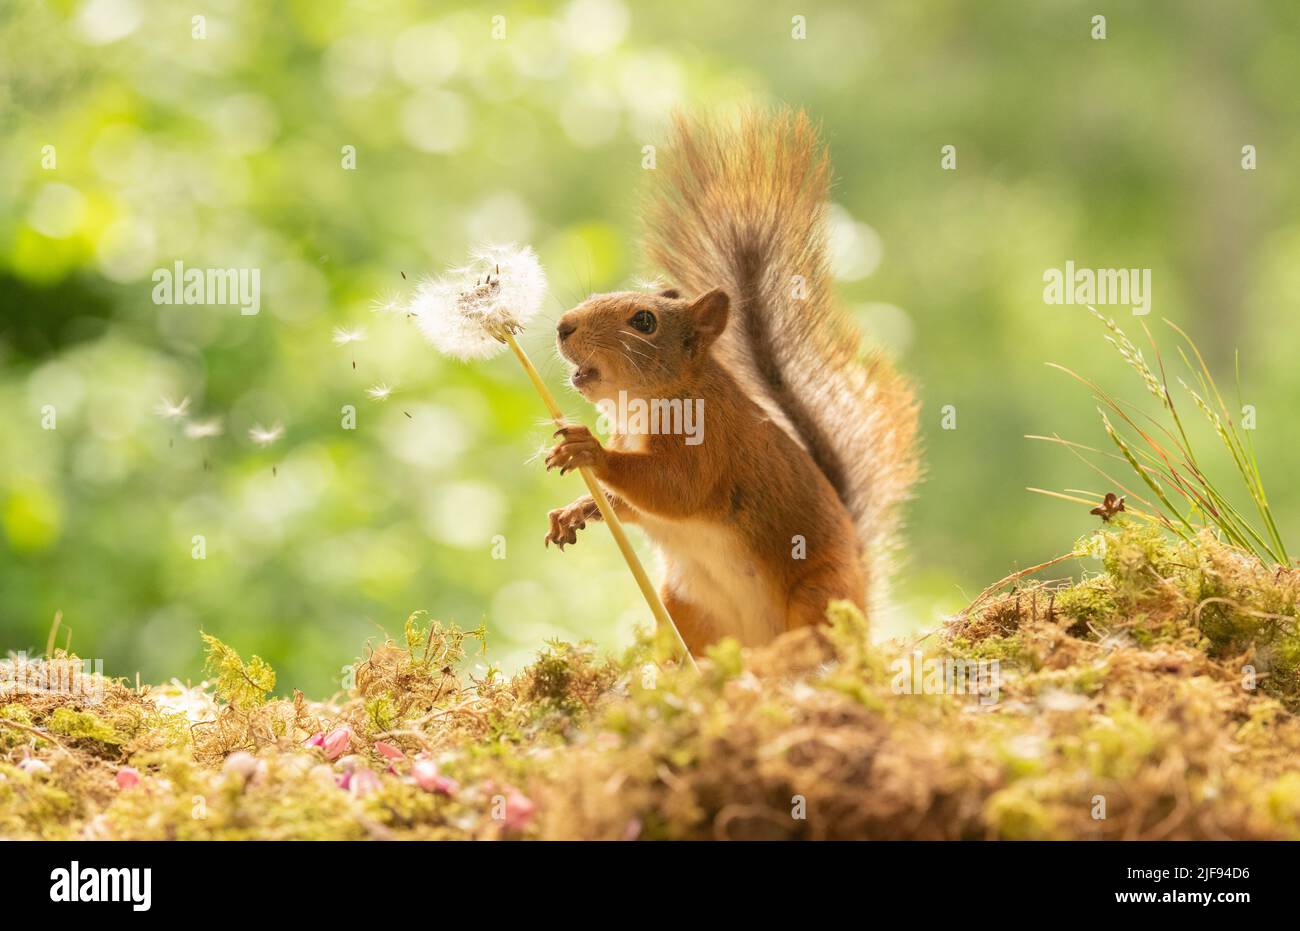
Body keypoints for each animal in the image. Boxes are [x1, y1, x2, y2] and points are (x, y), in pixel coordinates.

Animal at [543, 109, 918, 654]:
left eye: (643, 321)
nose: (563, 326)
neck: (642, 404)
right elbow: (633, 507)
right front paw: (577, 510)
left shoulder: (710, 441)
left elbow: (674, 488)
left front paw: (589, 450)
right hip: (684, 604)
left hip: (819, 591)